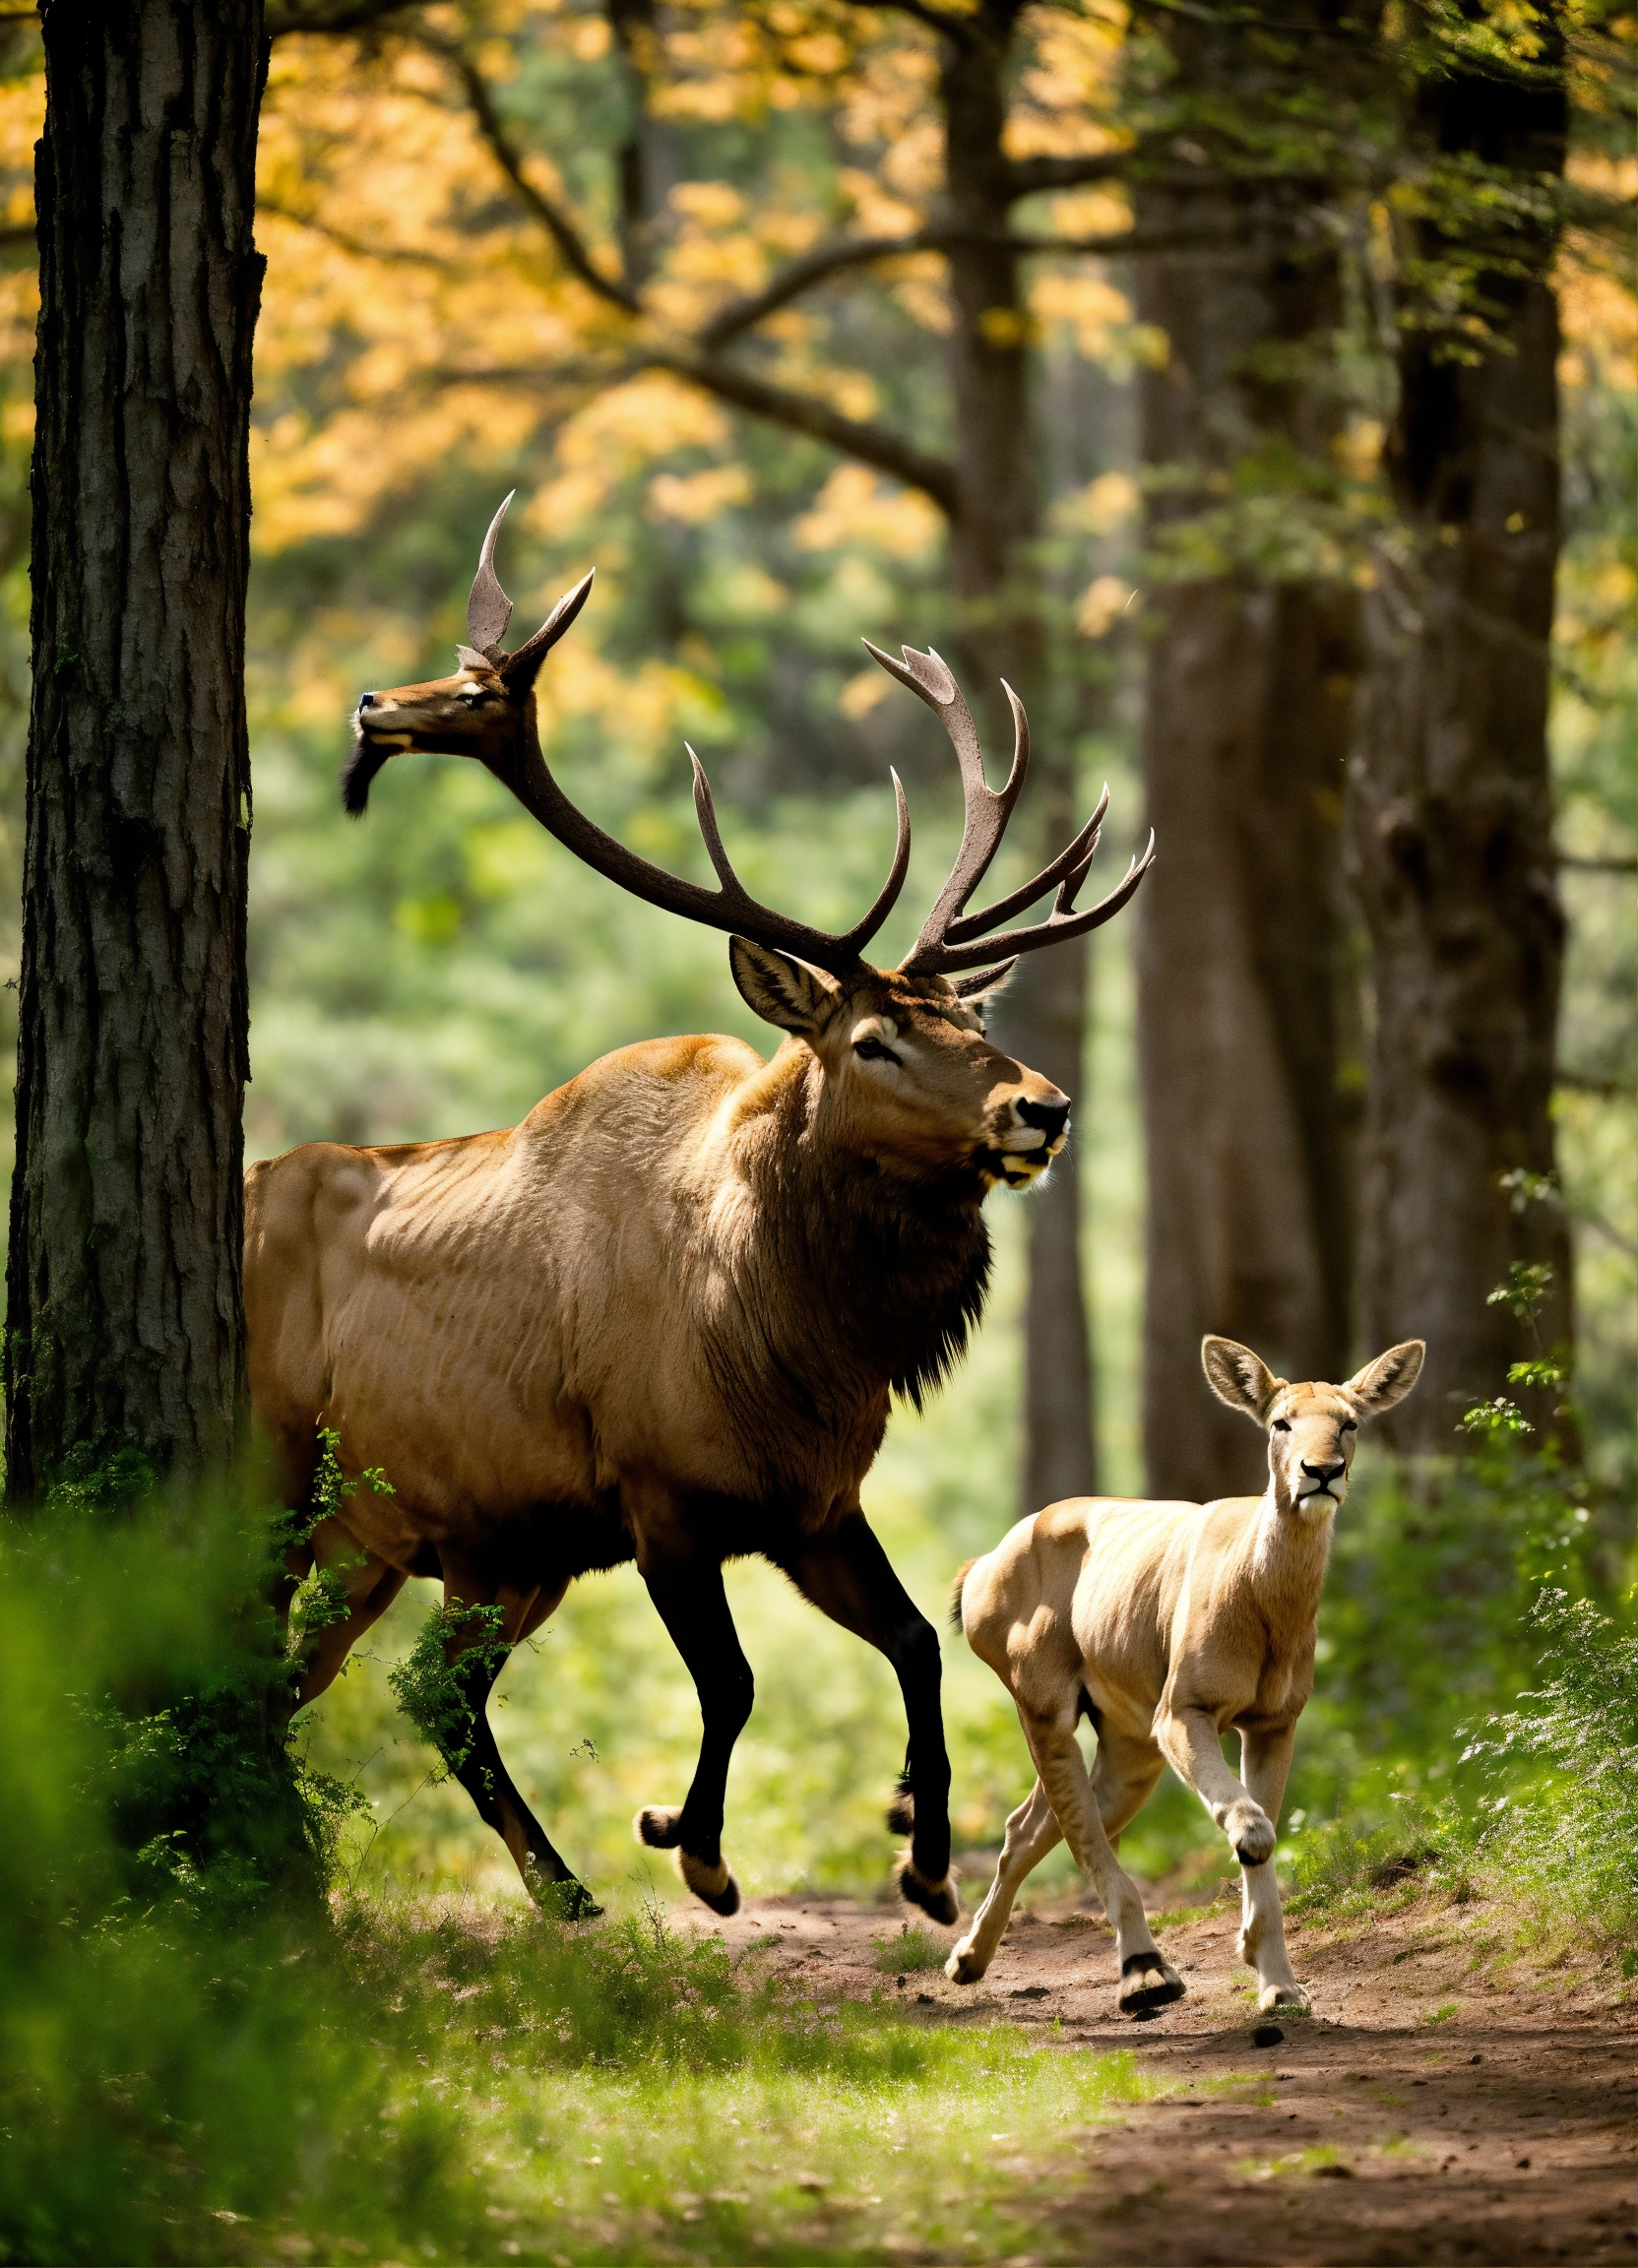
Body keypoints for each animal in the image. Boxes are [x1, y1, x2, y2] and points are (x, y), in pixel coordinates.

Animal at [245, 494, 1153, 1923]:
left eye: (973, 1020)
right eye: (873, 1042)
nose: (1042, 1109)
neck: (798, 1338)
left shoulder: (812, 1504)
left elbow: (917, 1639)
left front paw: (920, 1851)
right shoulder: (661, 1495)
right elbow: (733, 1682)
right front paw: (698, 1844)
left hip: (451, 1543)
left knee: (402, 1689)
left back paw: (545, 1889)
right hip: (277, 1474)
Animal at [945, 1333, 1424, 2015]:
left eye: (1350, 1422)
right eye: (1280, 1423)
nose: (1321, 1471)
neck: (1268, 1605)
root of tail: (980, 1569)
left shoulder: (1275, 1719)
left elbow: (1265, 1828)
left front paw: (1279, 1984)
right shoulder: (1181, 1708)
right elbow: (1251, 1826)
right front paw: (1256, 1959)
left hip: (1127, 1740)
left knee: (1029, 1827)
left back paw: (968, 1959)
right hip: (1042, 1696)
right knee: (1079, 1830)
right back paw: (1144, 1972)